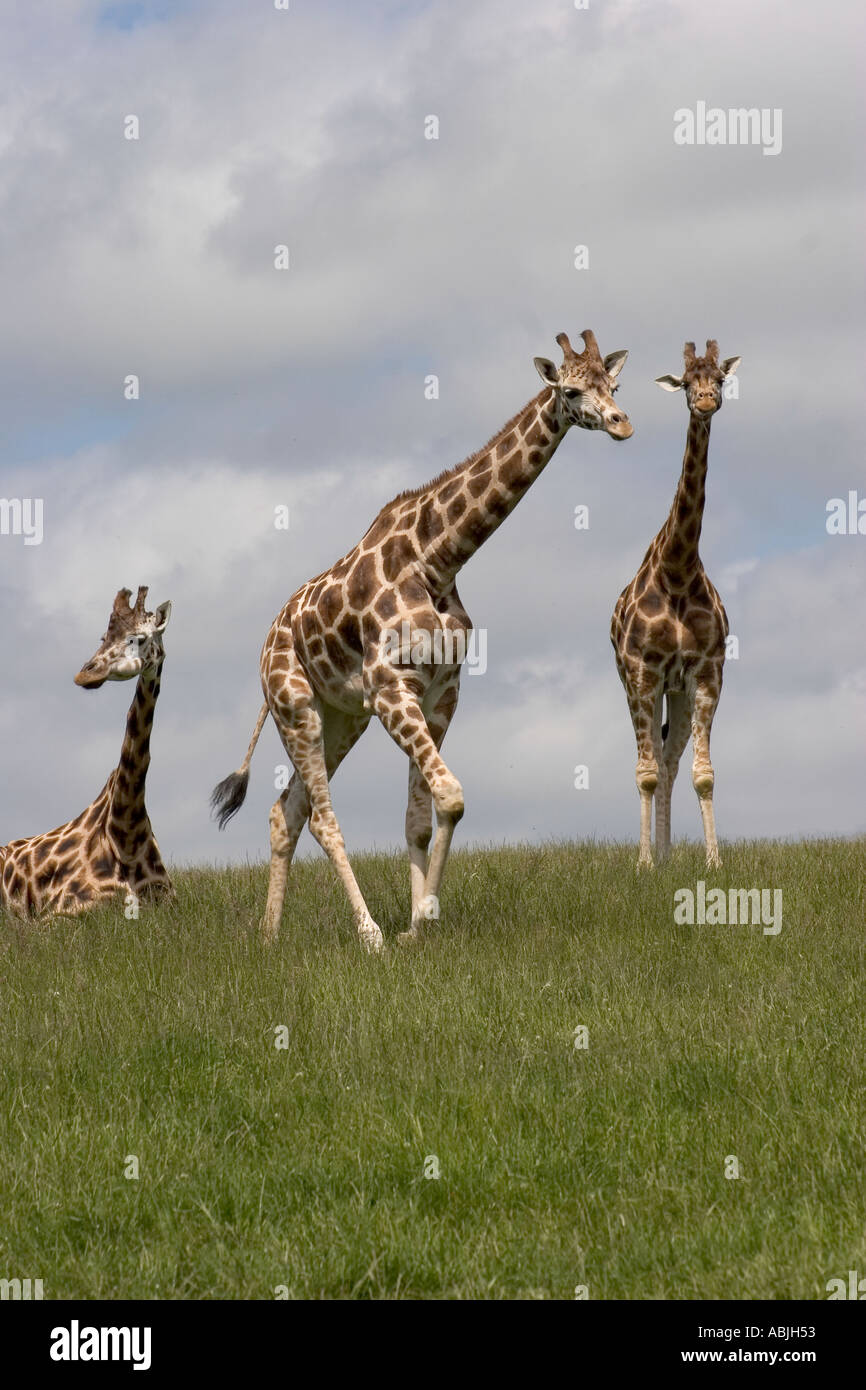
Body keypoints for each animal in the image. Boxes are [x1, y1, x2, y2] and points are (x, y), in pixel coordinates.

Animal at [213, 330, 633, 950]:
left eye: (615, 387)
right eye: (573, 389)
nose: (623, 424)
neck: (437, 559)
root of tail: (265, 649)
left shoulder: (440, 694)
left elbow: (423, 817)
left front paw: (418, 924)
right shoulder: (393, 689)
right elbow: (452, 795)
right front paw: (413, 924)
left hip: (342, 718)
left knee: (284, 811)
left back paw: (269, 935)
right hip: (296, 708)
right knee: (320, 816)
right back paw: (368, 935)